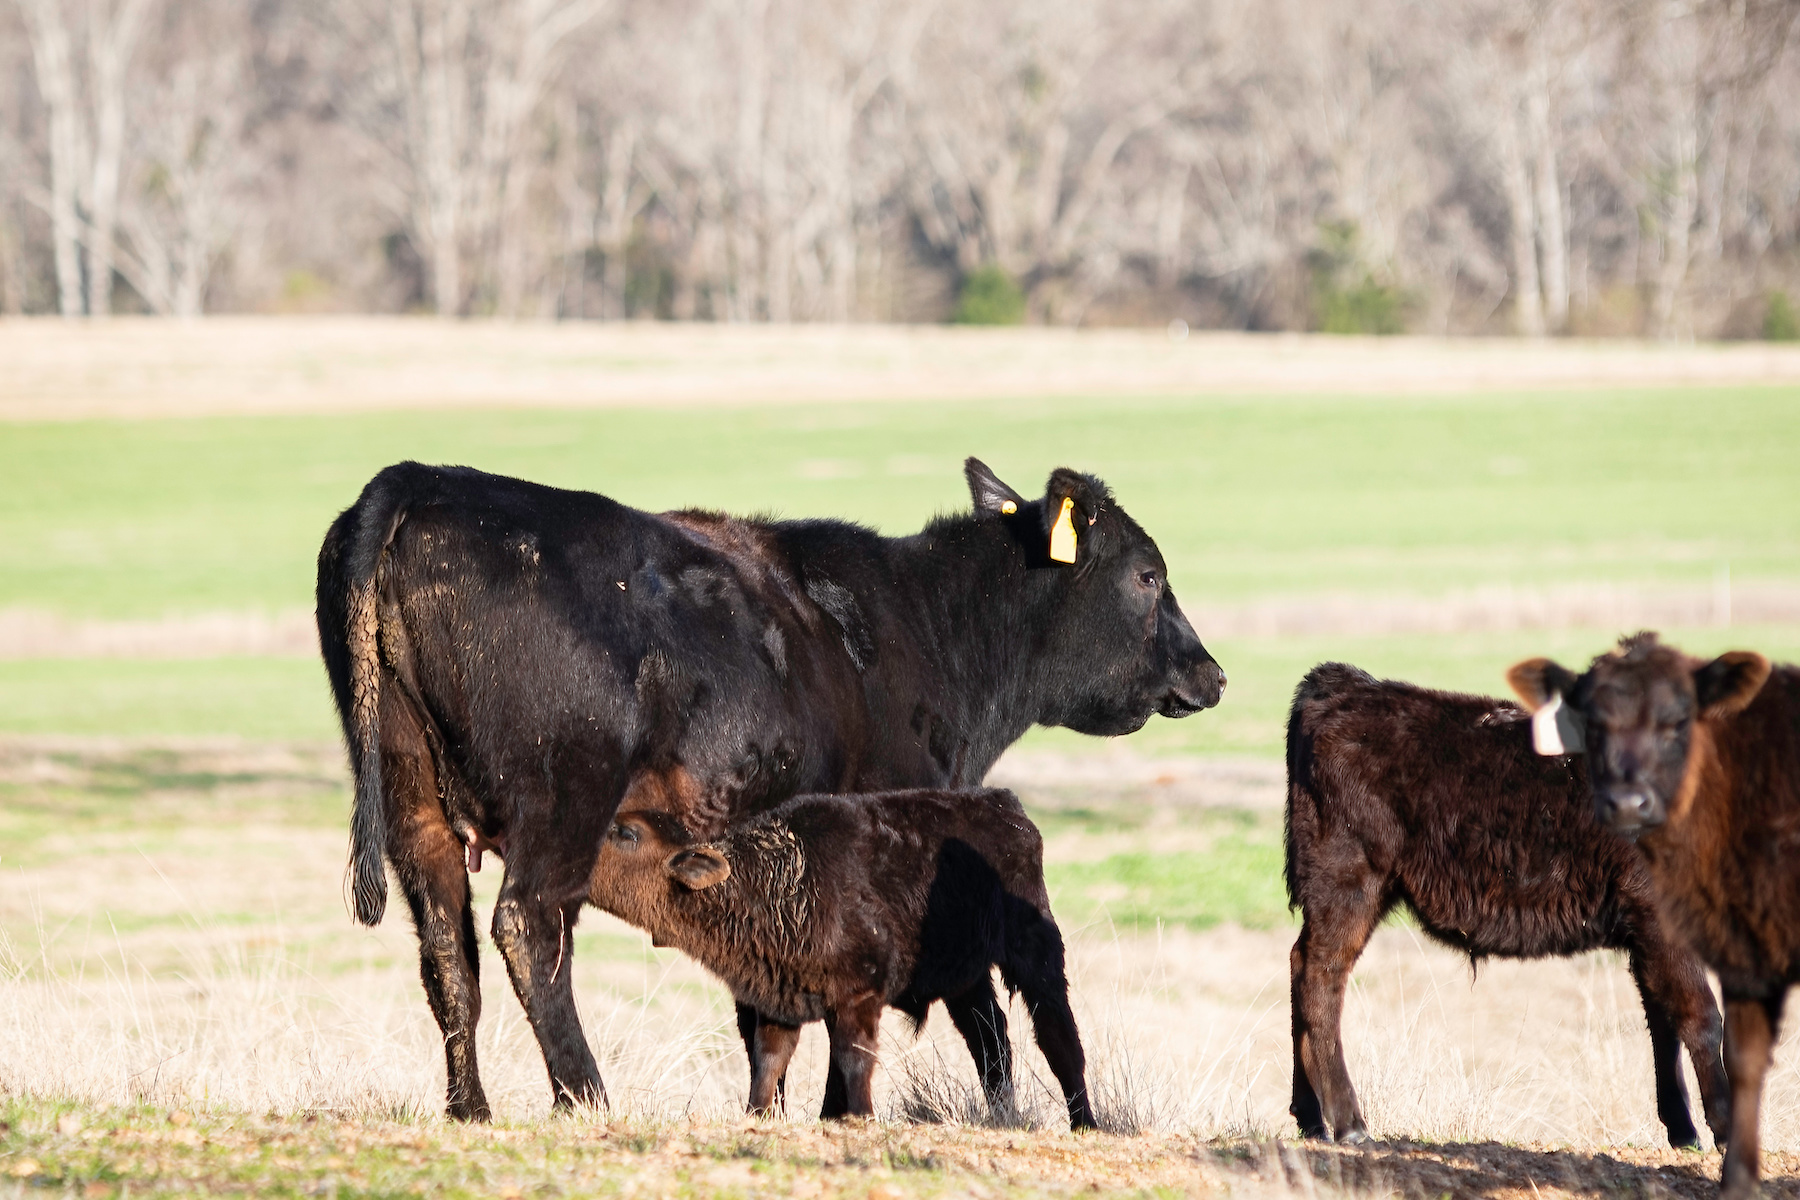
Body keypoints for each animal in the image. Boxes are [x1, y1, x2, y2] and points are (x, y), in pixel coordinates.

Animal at [588, 788, 1097, 1129]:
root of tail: (1006, 806)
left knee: (1058, 1035)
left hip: (1035, 955)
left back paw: (1084, 1122)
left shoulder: (859, 998)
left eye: (627, 832)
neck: (777, 880)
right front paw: (756, 1115)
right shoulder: (779, 1000)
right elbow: (768, 1062)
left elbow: (854, 1059)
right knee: (991, 1042)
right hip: (965, 983)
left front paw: (862, 1117)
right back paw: (1003, 1116)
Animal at [1286, 662, 1730, 1148]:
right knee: (1320, 979)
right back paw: (1349, 1123)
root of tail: (1344, 681)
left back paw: (1311, 1119)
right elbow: (1702, 1017)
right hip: (1347, 882)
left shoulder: (1646, 935)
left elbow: (1665, 1022)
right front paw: (1725, 1127)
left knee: (1300, 967)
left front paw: (1684, 1130)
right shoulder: (1659, 921)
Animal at [1510, 632, 1789, 1199]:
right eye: (1590, 723)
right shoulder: (1660, 927)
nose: (1627, 803)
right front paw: (1720, 1129)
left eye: (1678, 722)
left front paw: (1688, 1130)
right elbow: (1698, 1017)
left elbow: (1668, 1018)